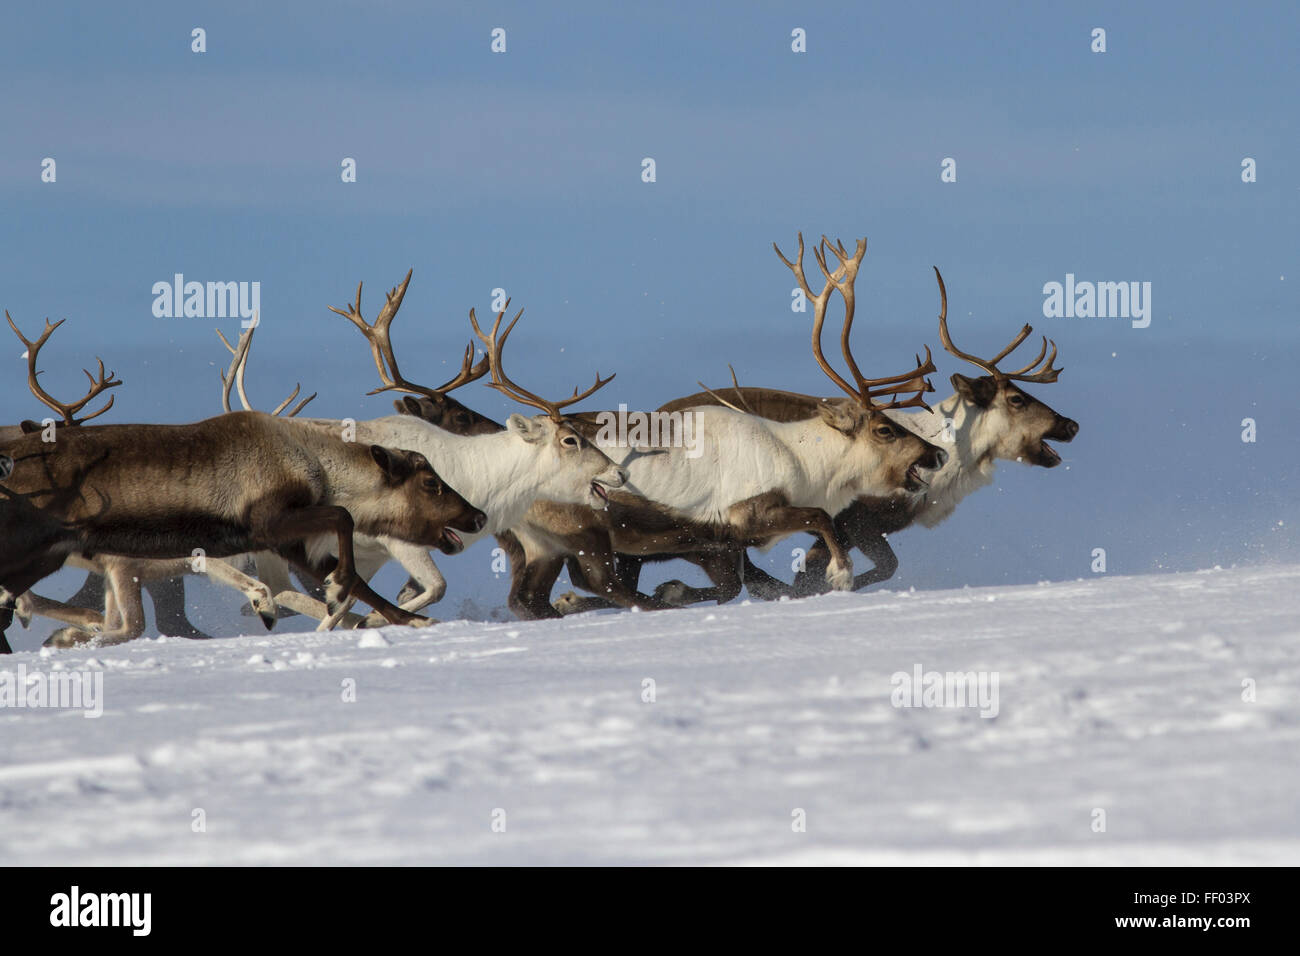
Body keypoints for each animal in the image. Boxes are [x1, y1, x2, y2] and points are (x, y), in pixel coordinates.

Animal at [497, 233, 950, 619]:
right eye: (884, 429)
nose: (938, 453)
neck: (803, 460)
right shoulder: (747, 516)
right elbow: (819, 517)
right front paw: (840, 573)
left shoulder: (723, 544)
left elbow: (748, 583)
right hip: (585, 534)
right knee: (594, 582)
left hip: (543, 546)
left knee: (530, 598)